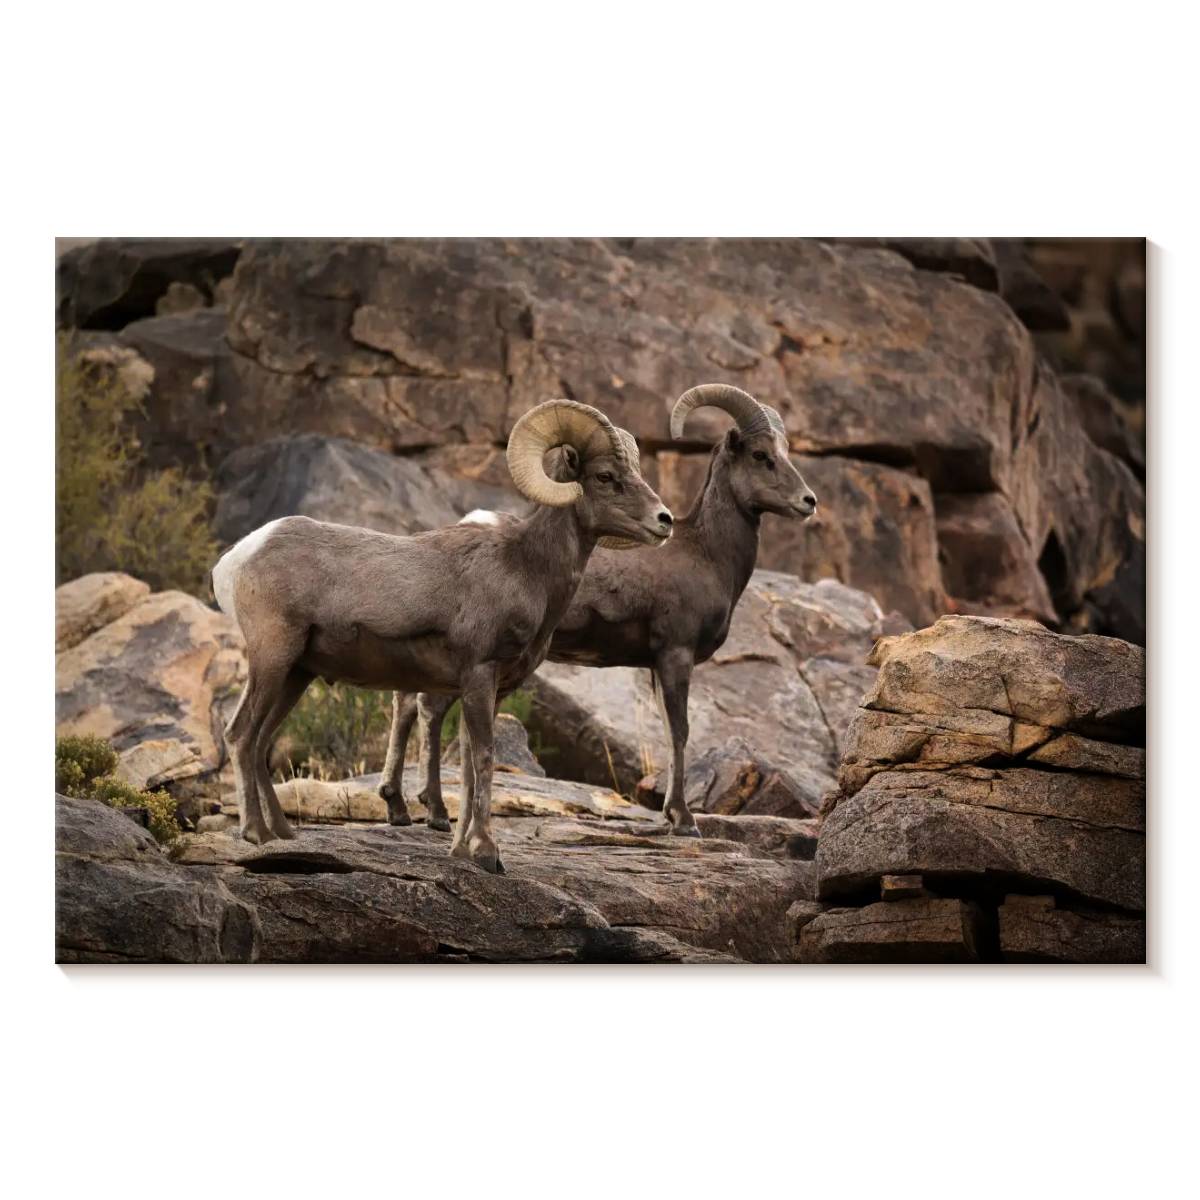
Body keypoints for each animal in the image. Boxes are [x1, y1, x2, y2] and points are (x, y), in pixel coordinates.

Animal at [211, 399, 673, 872]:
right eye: (605, 476)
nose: (664, 521)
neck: (526, 568)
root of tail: (237, 558)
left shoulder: (490, 690)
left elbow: (468, 767)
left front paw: (460, 848)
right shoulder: (479, 675)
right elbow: (484, 759)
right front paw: (487, 854)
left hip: (296, 675)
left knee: (261, 742)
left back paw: (282, 833)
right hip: (273, 659)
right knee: (241, 735)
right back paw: (255, 833)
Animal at [381, 383, 816, 836]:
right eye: (761, 456)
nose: (809, 502)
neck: (707, 554)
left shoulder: (656, 667)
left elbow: (668, 731)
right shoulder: (675, 656)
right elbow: (679, 732)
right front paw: (683, 820)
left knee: (407, 703)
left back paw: (401, 807)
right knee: (429, 709)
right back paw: (433, 812)